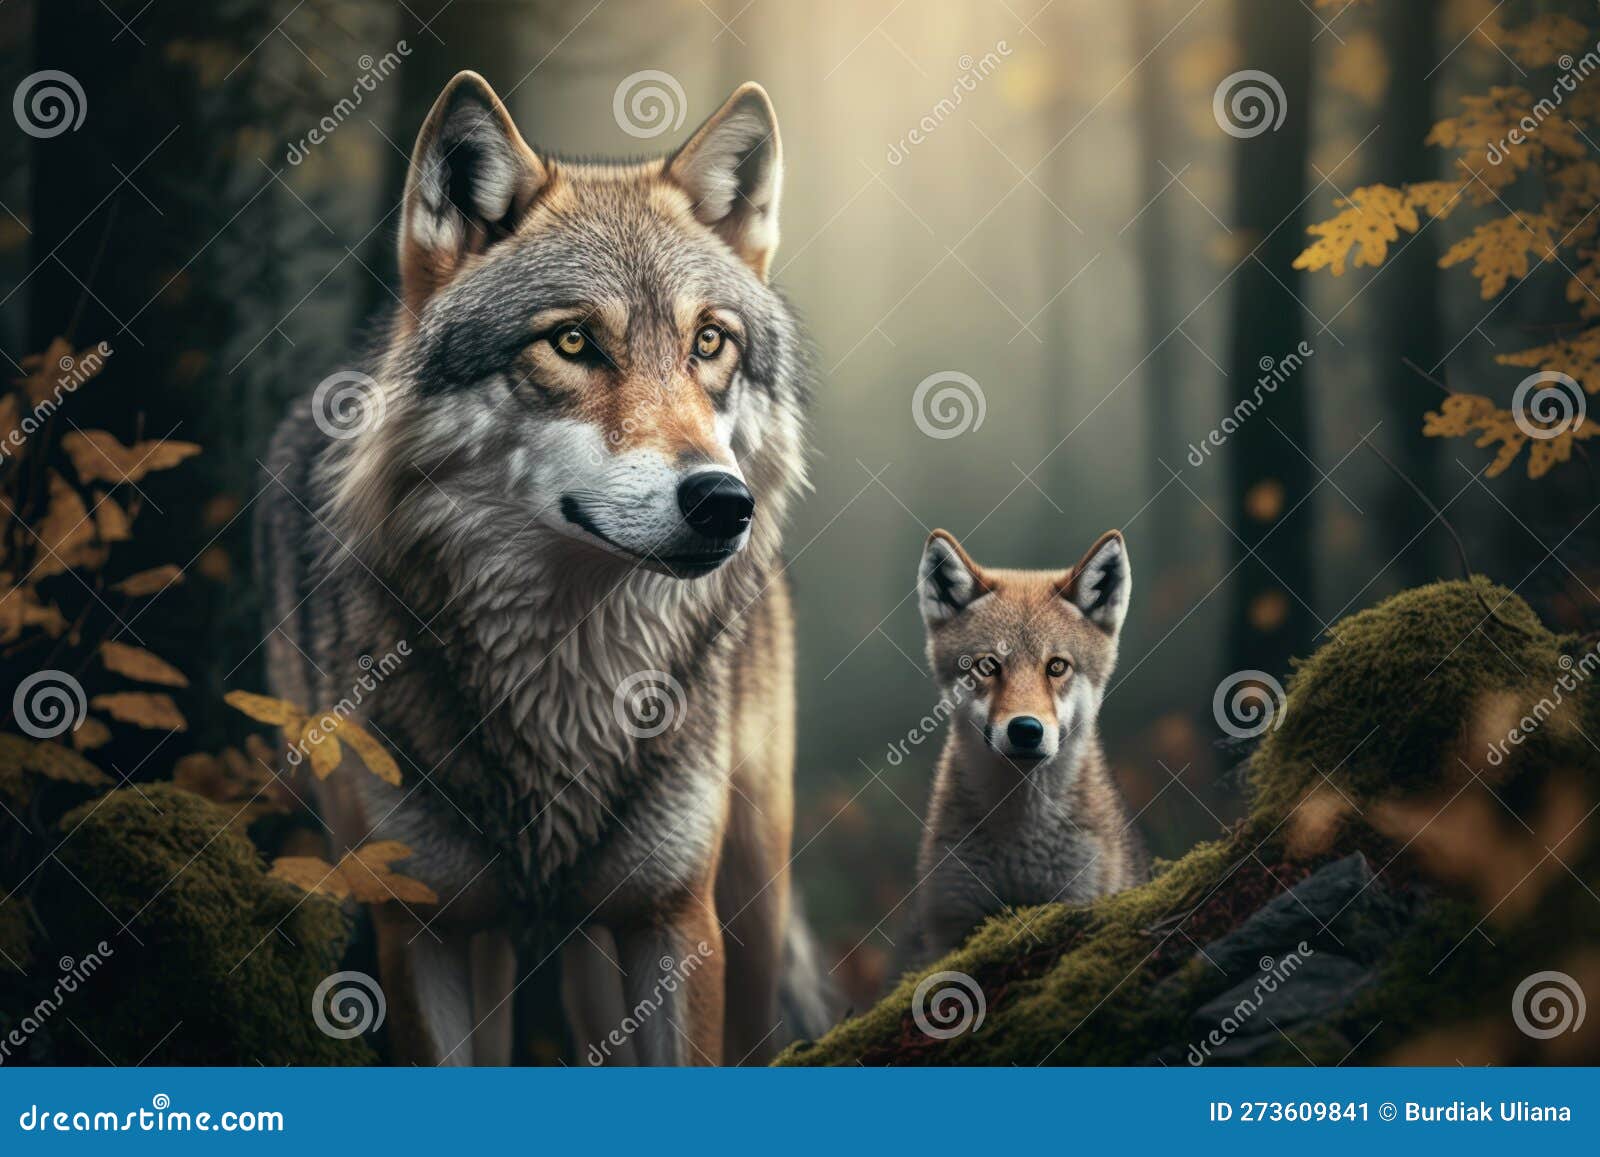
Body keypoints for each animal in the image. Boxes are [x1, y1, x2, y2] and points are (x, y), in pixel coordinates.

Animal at [256, 72, 832, 1065]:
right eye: (572, 343)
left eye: (708, 343)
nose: (723, 501)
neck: (566, 691)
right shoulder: (424, 929)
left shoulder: (672, 917)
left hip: (740, 894)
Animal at [905, 529, 1146, 965]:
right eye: (987, 665)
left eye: (1057, 666)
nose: (1026, 729)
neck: (1019, 846)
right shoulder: (950, 928)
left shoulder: (1074, 901)